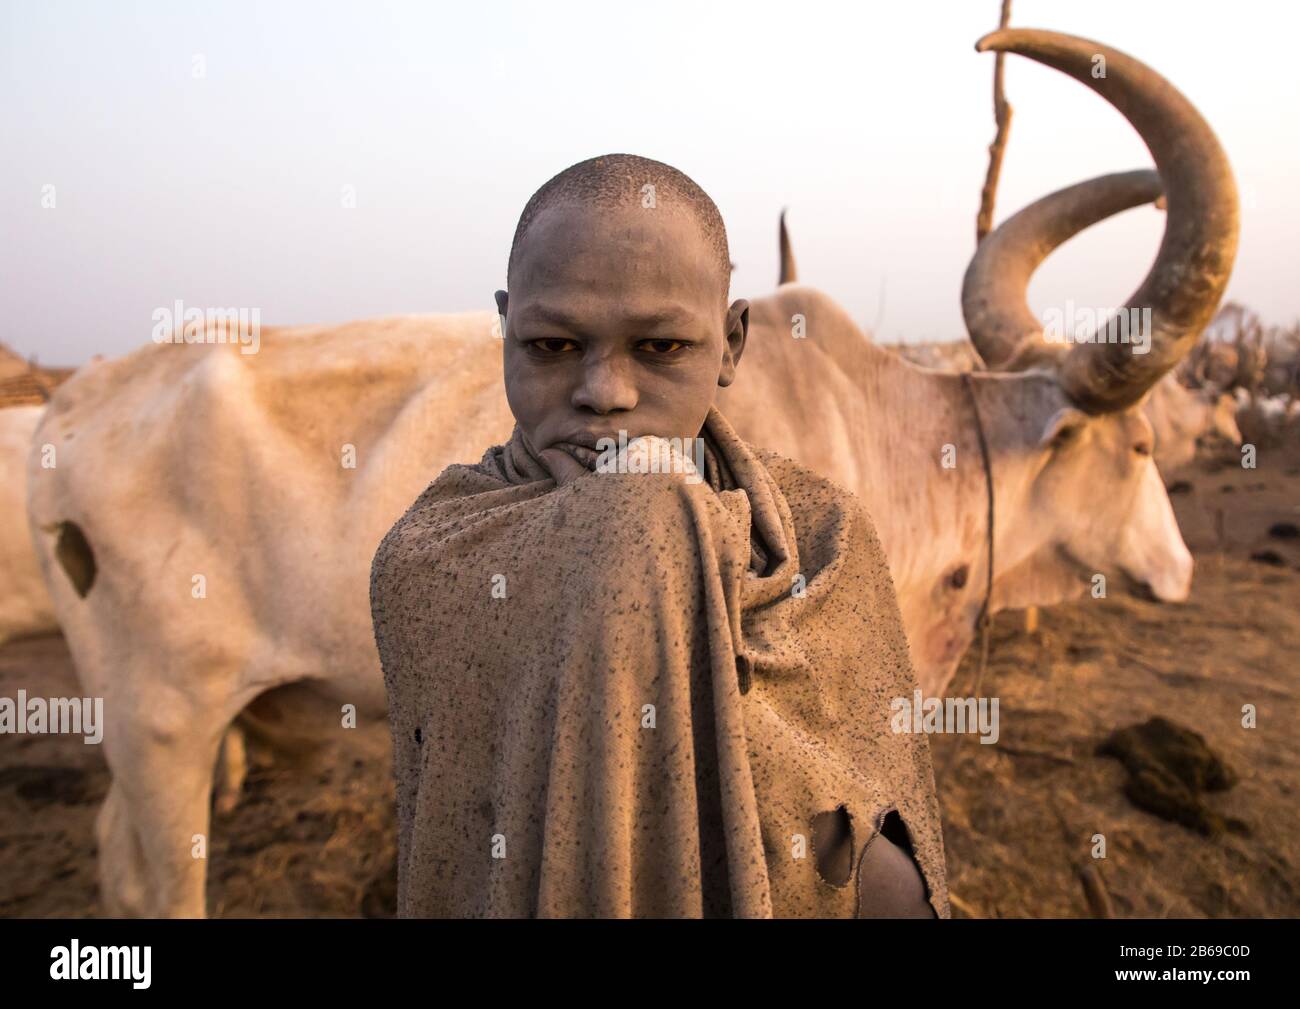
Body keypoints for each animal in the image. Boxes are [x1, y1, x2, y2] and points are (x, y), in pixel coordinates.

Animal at [28, 28, 1236, 916]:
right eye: (1138, 448)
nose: (1183, 571)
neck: (903, 436)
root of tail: (74, 404)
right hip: (163, 719)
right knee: (149, 878)